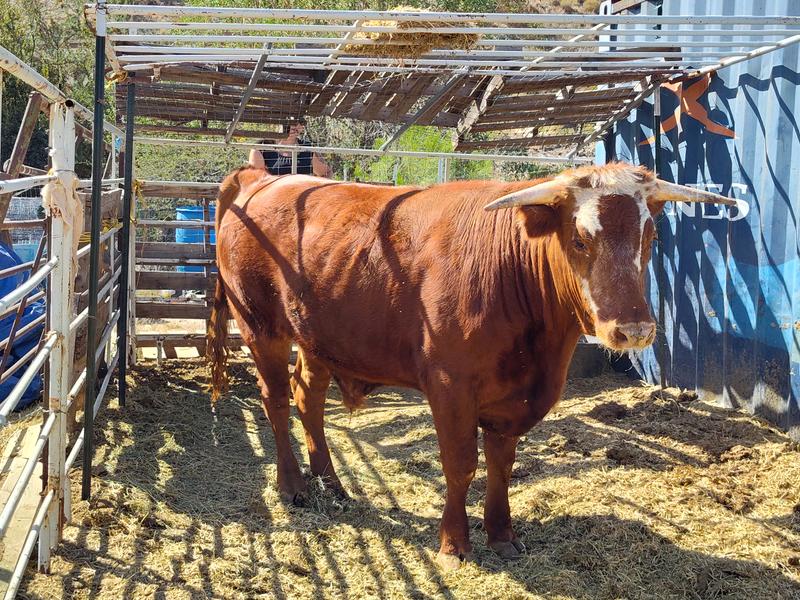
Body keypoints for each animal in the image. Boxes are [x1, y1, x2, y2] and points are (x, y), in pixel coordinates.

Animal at [207, 162, 732, 570]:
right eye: (580, 240)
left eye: (650, 236)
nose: (634, 329)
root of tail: (261, 178)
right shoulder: (450, 386)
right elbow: (460, 465)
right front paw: (453, 544)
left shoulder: (512, 398)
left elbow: (501, 465)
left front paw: (501, 535)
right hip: (260, 327)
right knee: (276, 399)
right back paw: (293, 485)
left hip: (318, 338)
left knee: (307, 397)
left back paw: (332, 483)